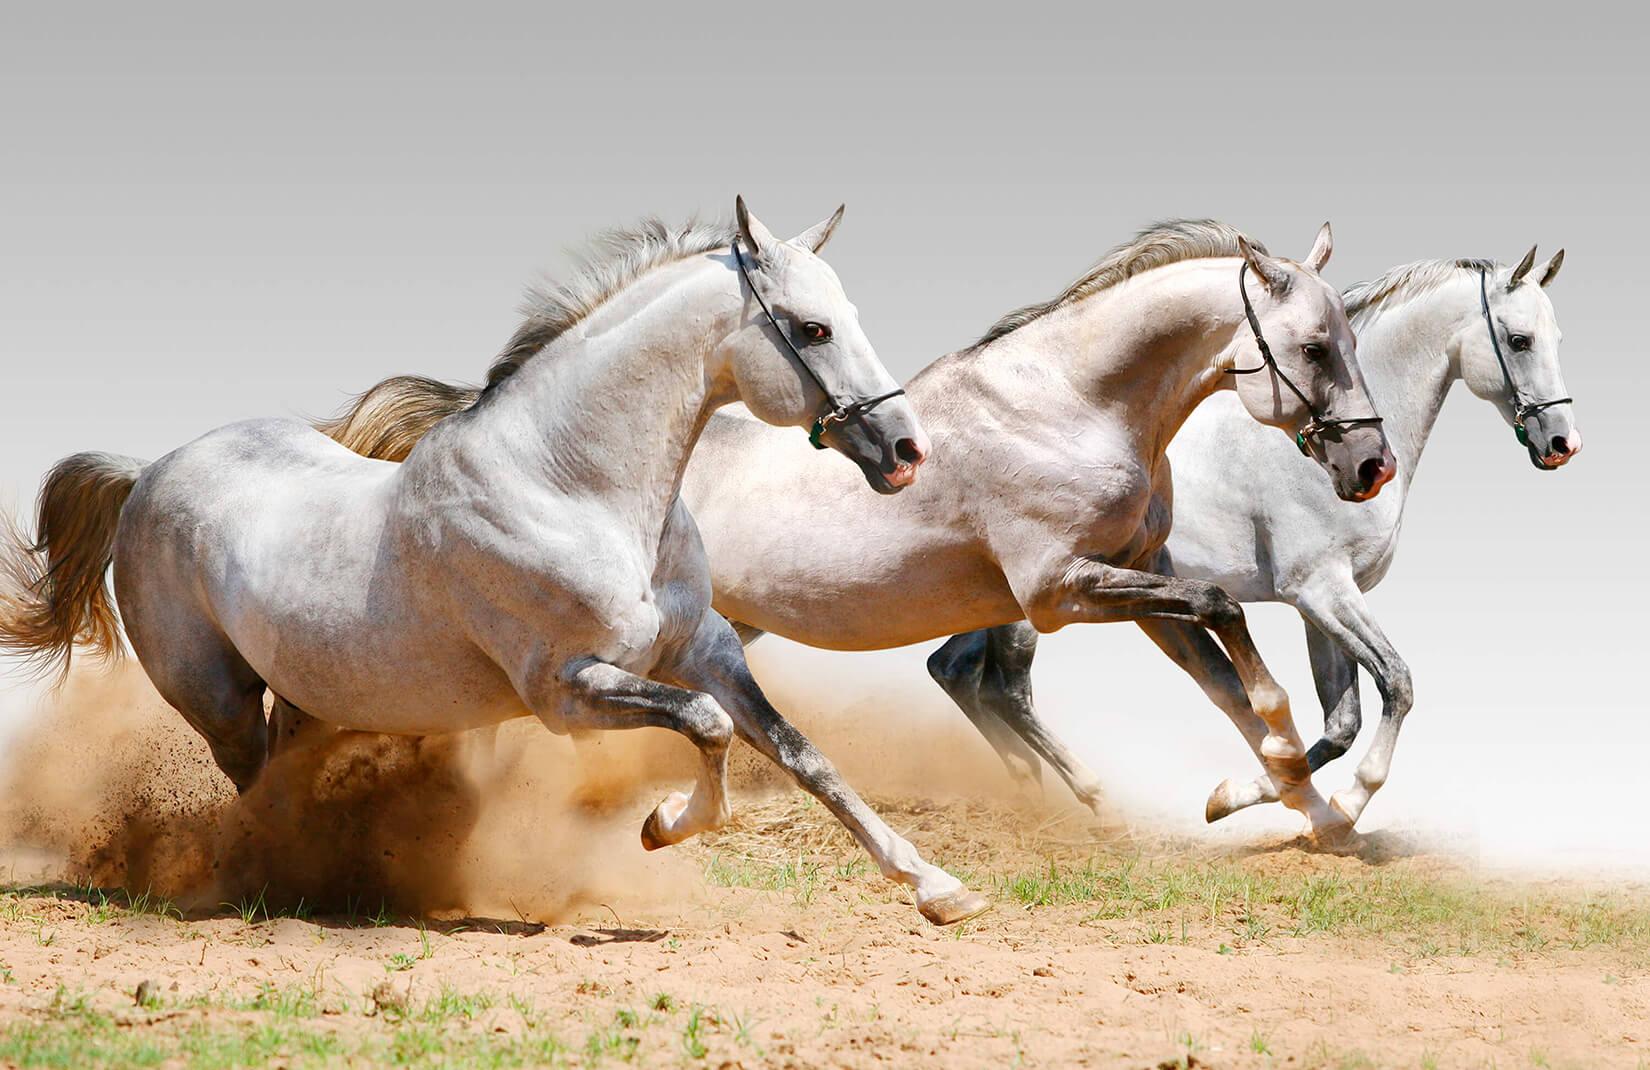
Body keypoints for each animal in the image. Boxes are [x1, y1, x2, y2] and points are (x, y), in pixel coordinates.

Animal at [0, 198, 995, 926]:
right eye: (812, 329)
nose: (906, 450)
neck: (572, 486)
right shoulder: (567, 690)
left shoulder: (705, 647)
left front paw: (940, 890)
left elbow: (801, 753)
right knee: (252, 789)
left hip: (310, 697)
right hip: (219, 700)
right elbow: (709, 728)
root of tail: (149, 471)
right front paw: (661, 827)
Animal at [310, 219, 1395, 837]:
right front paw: (1289, 777)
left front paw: (1295, 806)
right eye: (1314, 346)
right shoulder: (1060, 587)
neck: (1074, 403)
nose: (1370, 465)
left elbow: (1229, 673)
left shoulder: (1134, 574)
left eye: (1348, 338)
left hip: (719, 629)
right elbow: (1229, 624)